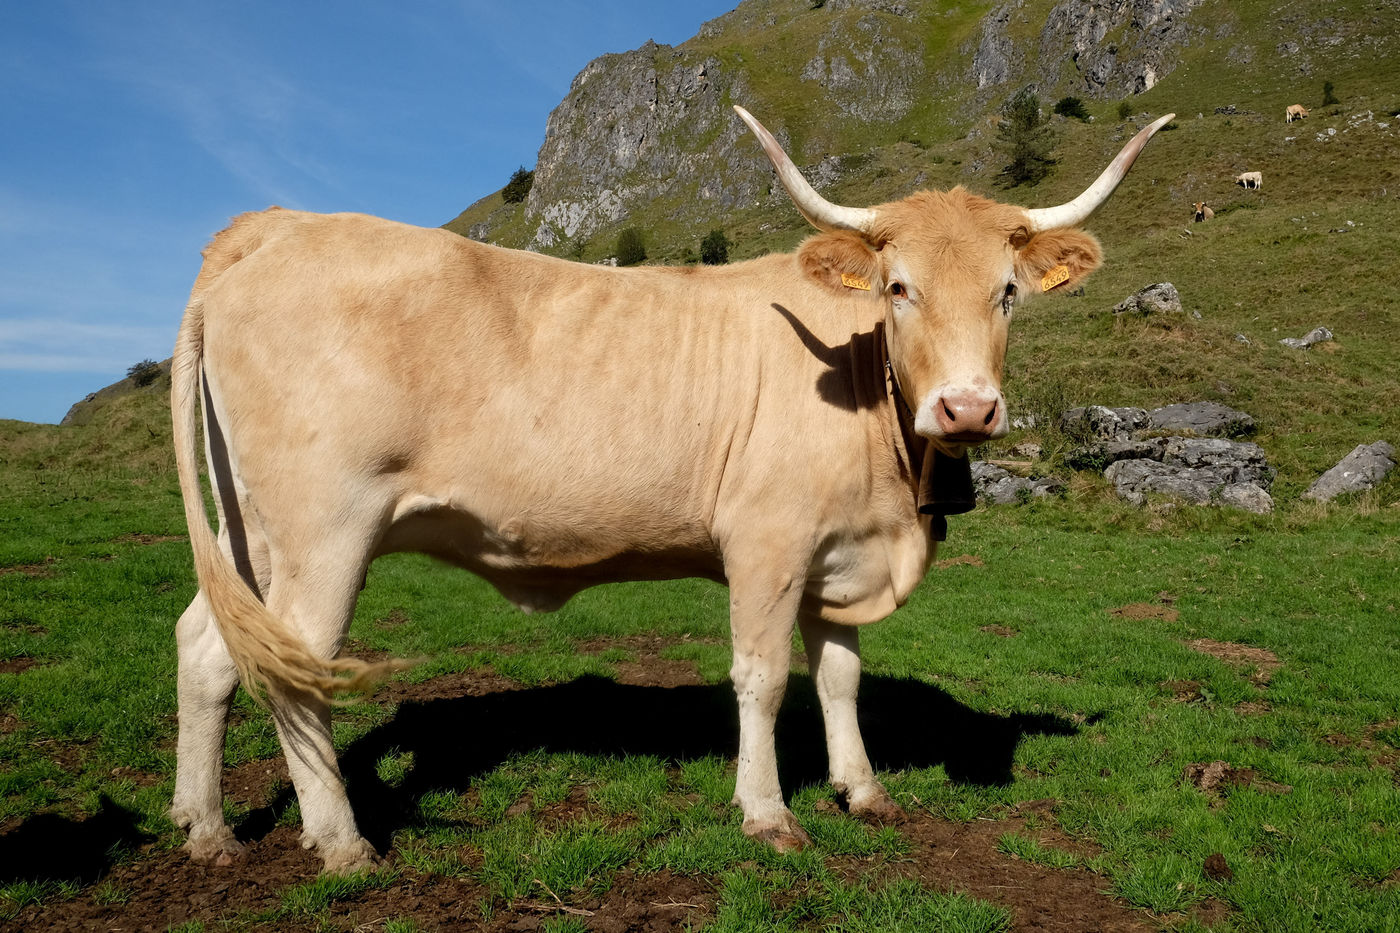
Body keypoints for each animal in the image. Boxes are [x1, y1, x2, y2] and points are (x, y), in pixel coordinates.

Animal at [169, 106, 1174, 873]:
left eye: (1008, 291)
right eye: (898, 287)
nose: (967, 408)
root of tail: (275, 225)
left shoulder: (839, 554)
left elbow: (841, 678)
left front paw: (863, 788)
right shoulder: (766, 541)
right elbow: (763, 677)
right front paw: (767, 812)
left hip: (252, 534)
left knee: (208, 648)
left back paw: (206, 828)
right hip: (324, 529)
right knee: (294, 669)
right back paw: (342, 844)